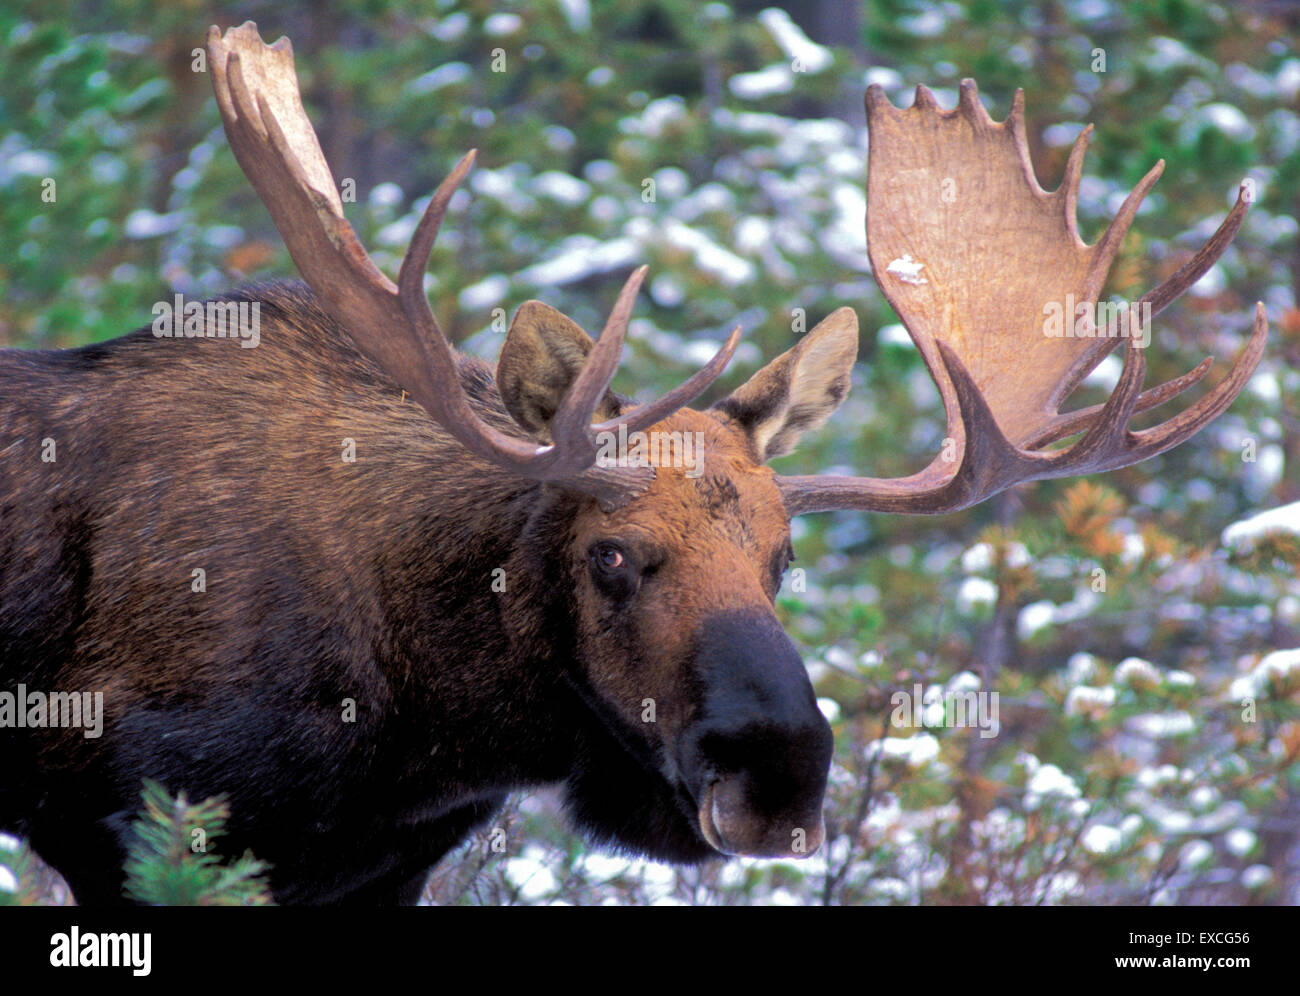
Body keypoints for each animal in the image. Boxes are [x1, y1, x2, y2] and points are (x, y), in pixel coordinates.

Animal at [0, 22, 1265, 905]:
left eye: (785, 556)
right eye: (610, 554)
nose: (781, 776)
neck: (431, 730)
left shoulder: (374, 864)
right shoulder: (129, 814)